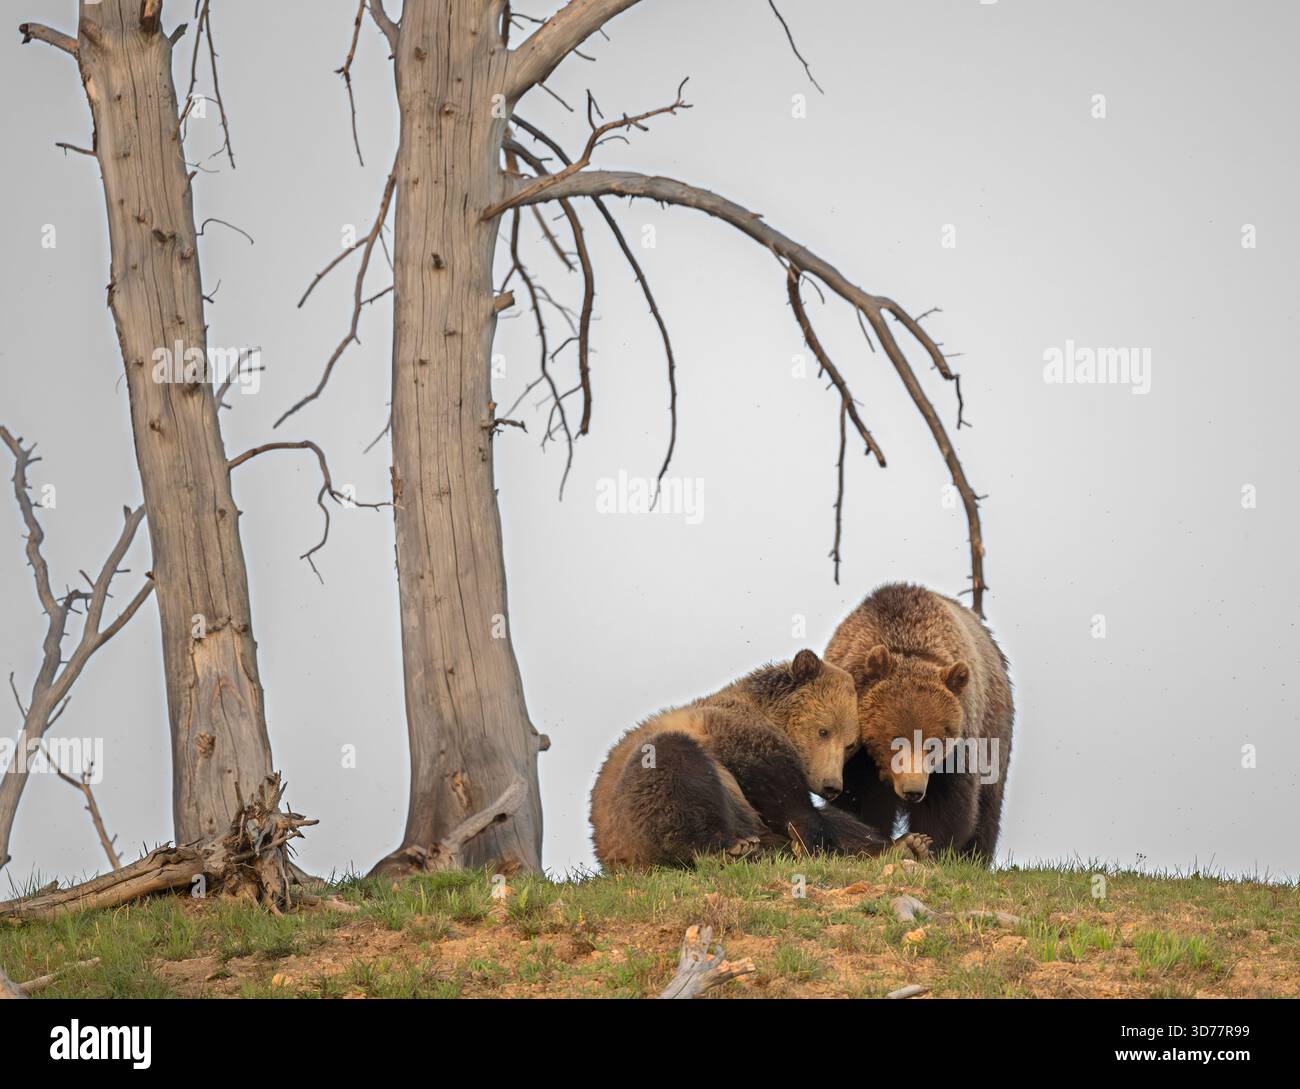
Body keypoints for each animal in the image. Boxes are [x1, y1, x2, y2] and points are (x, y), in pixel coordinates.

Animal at [590, 649, 932, 868]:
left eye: (850, 744)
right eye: (823, 731)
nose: (832, 785)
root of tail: (610, 856)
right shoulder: (732, 728)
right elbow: (774, 781)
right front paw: (809, 838)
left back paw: (908, 844)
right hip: (632, 810)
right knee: (673, 772)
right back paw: (727, 847)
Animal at [824, 583, 1014, 862]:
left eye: (933, 744)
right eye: (894, 739)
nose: (913, 790)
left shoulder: (958, 748)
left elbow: (948, 805)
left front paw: (928, 846)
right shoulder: (856, 751)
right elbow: (858, 798)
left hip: (994, 731)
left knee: (988, 806)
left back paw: (976, 856)